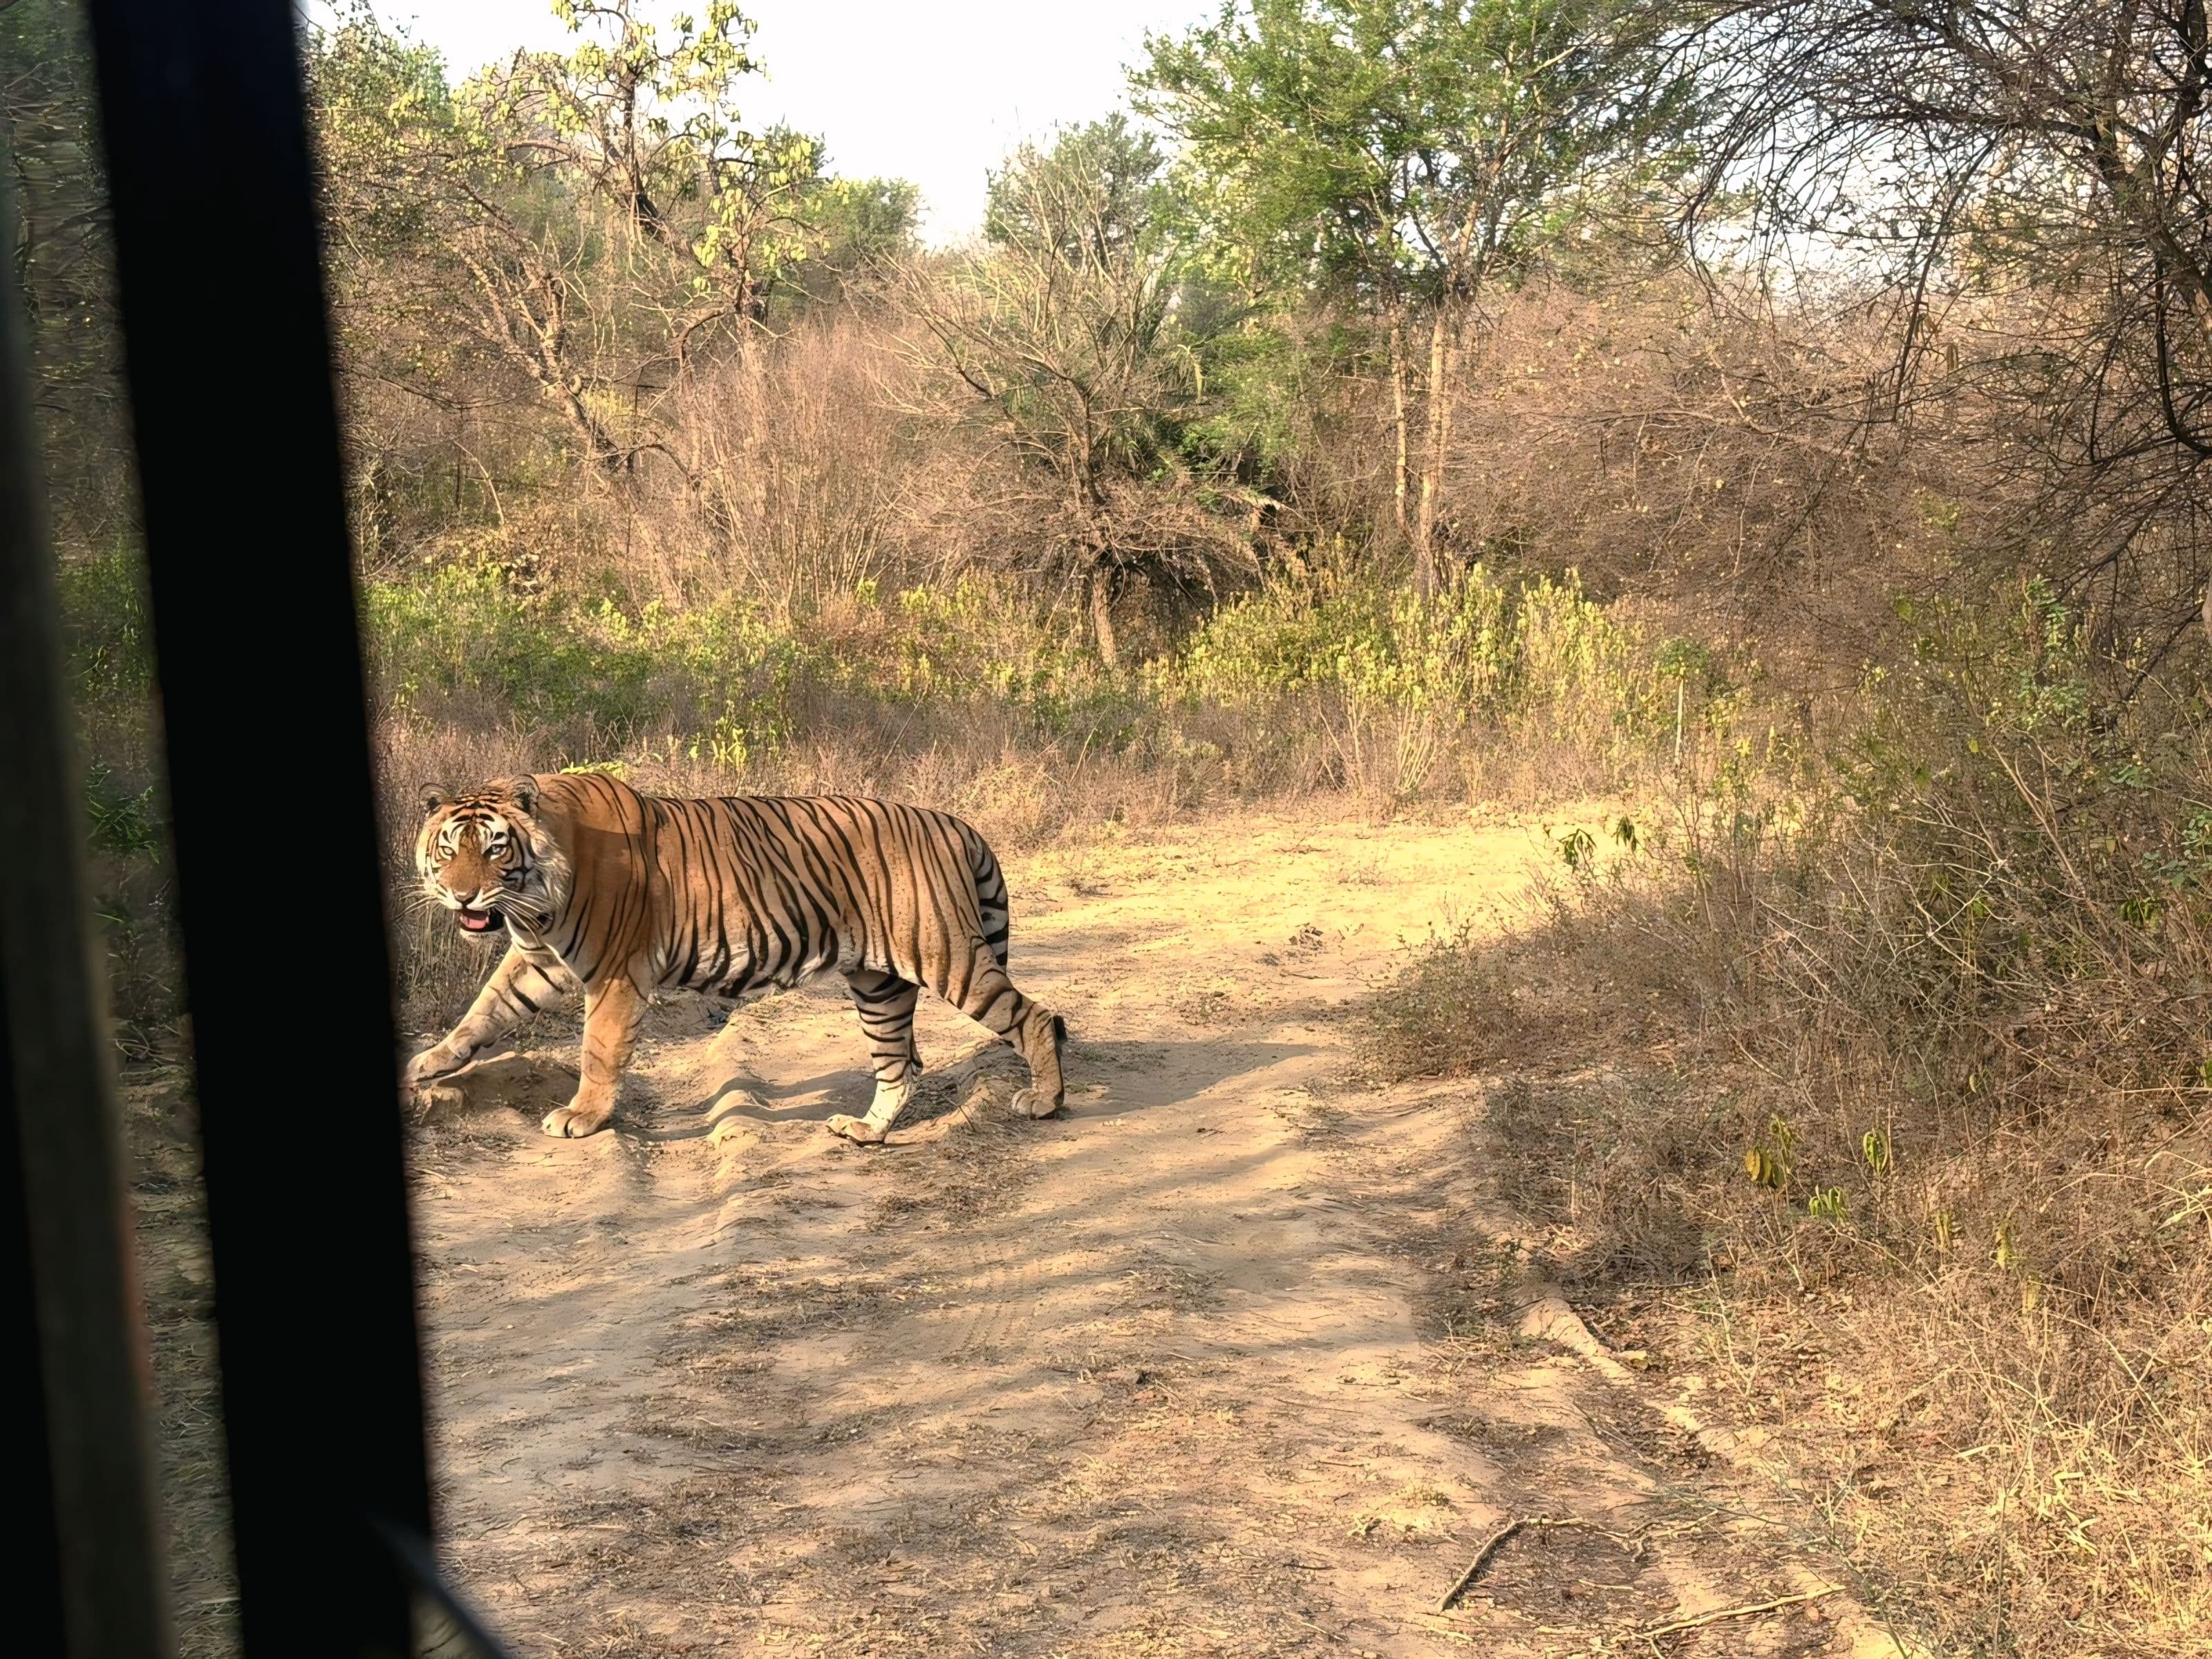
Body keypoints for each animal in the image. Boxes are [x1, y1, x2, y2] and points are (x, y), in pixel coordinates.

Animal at [401, 772, 1067, 1142]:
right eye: (448, 850)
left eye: (495, 848)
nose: (463, 896)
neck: (535, 902)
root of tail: (956, 823)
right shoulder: (539, 959)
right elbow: (482, 1012)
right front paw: (427, 1064)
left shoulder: (614, 972)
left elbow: (597, 1051)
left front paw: (582, 1117)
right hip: (879, 983)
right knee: (899, 1066)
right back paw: (866, 1132)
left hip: (945, 953)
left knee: (1032, 1015)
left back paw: (1046, 1101)